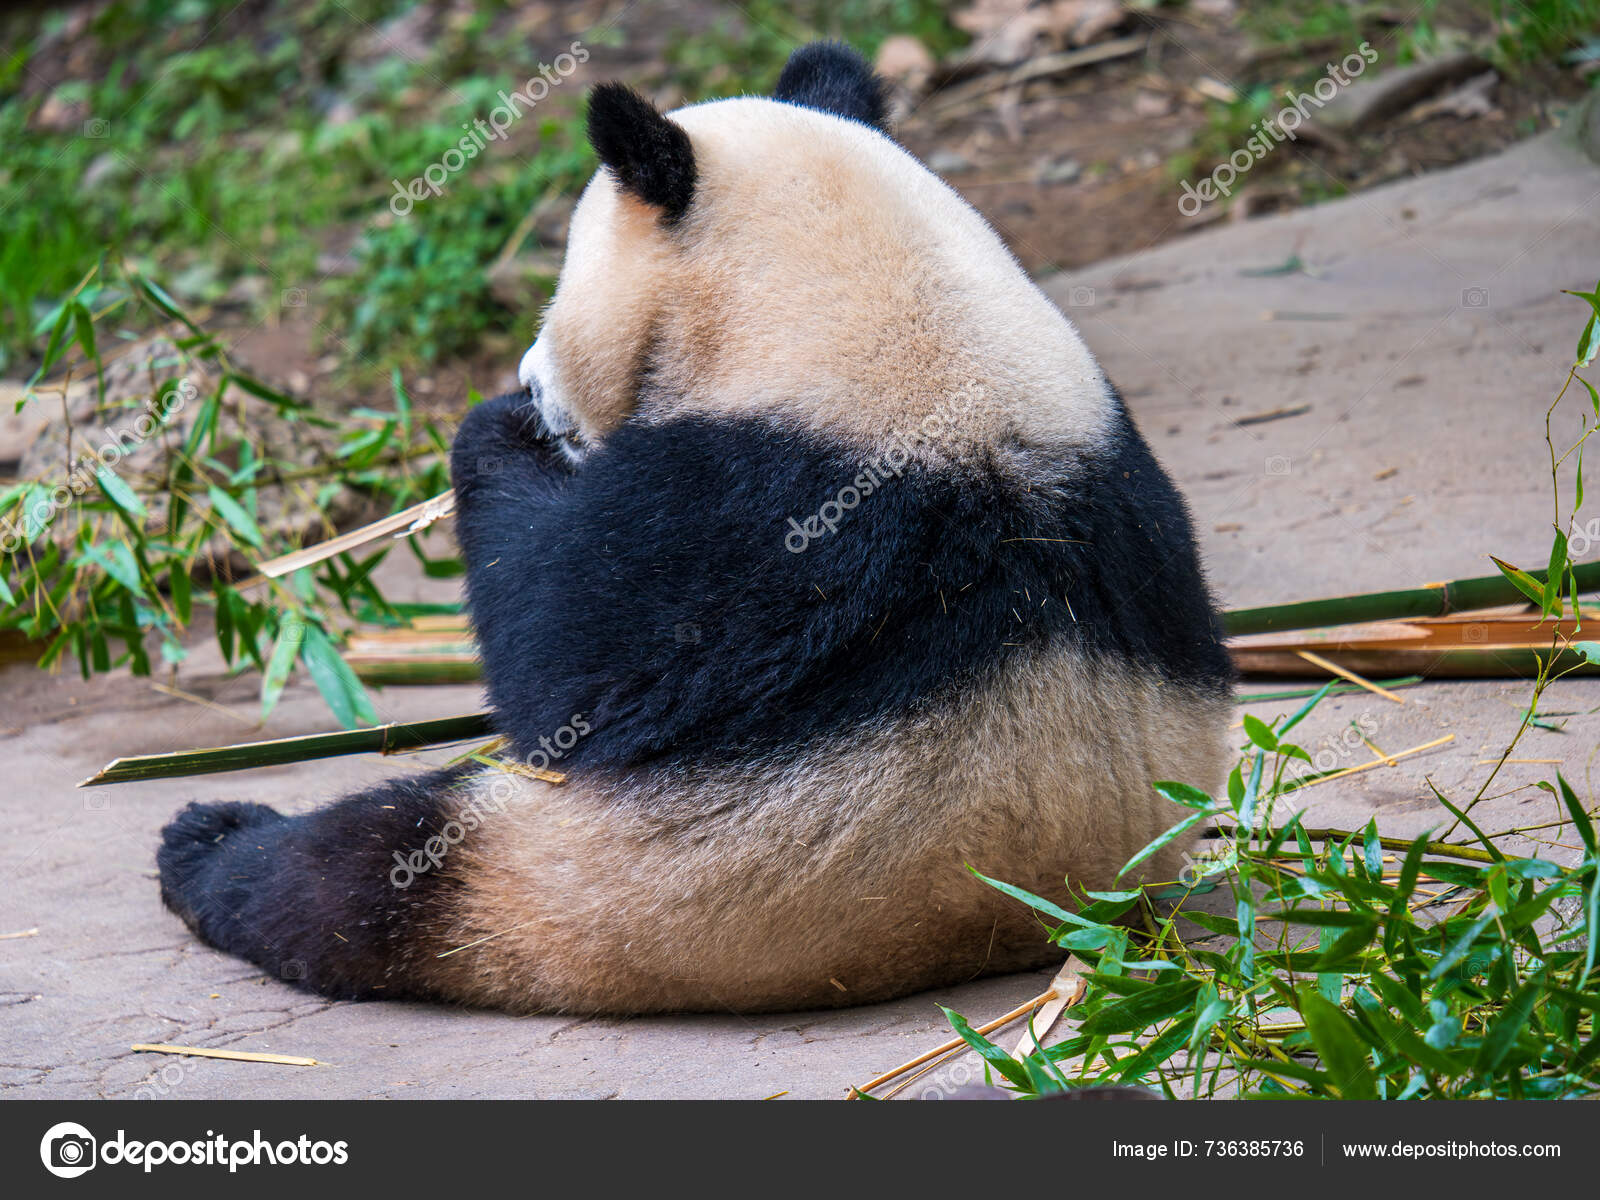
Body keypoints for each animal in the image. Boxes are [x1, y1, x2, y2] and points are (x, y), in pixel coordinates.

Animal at [157, 43, 1233, 1015]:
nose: (534, 382)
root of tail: (1008, 926)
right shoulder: (1119, 467)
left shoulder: (752, 507)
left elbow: (565, 658)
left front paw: (496, 433)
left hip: (615, 880)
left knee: (362, 873)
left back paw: (210, 842)